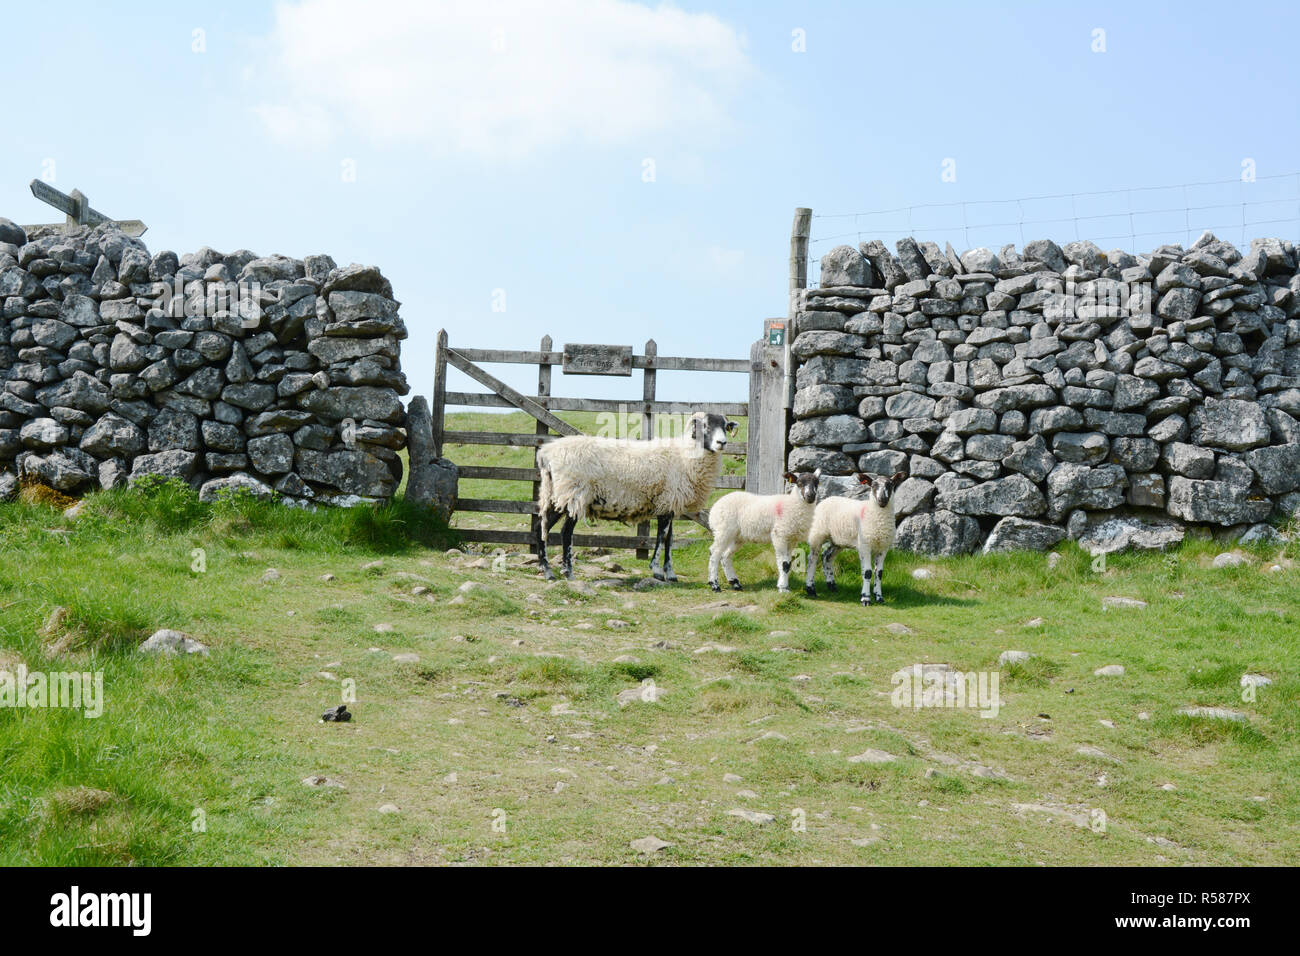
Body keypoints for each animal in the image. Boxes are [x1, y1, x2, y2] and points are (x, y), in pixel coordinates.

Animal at [535, 411, 737, 581]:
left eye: (725, 426)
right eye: (705, 426)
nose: (722, 443)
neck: (684, 456)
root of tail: (547, 453)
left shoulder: (670, 504)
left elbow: (670, 539)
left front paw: (670, 573)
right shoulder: (666, 500)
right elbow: (662, 537)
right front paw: (656, 570)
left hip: (556, 494)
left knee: (539, 527)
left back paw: (548, 571)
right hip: (574, 494)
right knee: (565, 532)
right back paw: (568, 572)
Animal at [804, 471, 906, 606]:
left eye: (890, 485)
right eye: (873, 485)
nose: (882, 500)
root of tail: (828, 498)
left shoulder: (883, 547)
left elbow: (879, 573)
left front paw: (879, 597)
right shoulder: (865, 545)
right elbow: (867, 572)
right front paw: (866, 598)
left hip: (838, 540)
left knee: (826, 557)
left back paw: (832, 585)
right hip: (817, 534)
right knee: (812, 559)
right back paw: (811, 589)